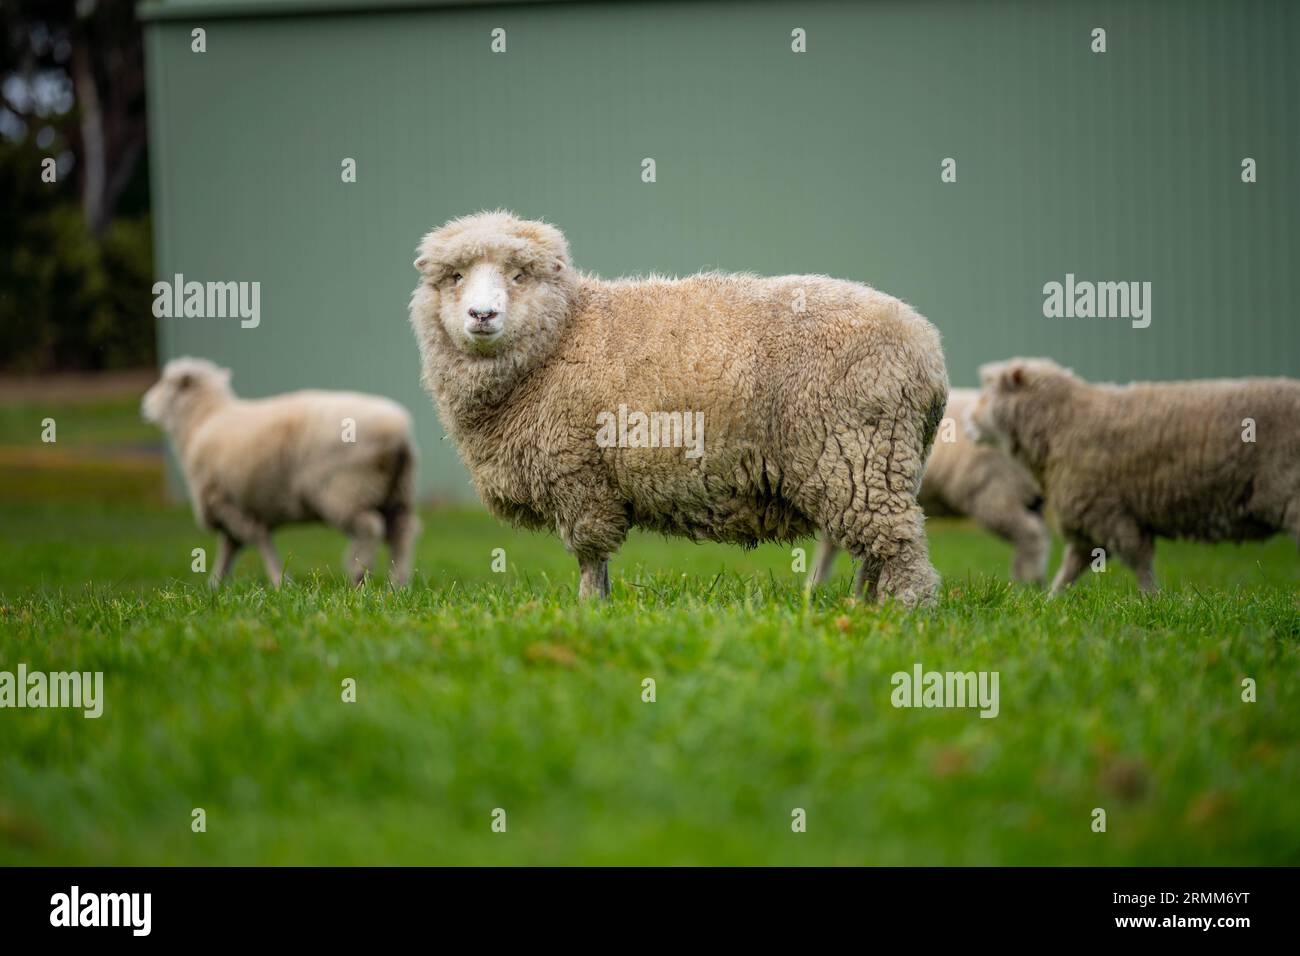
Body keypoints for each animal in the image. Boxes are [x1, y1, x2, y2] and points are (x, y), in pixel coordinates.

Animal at [141, 357, 420, 587]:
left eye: (166, 384)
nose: (144, 406)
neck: (201, 420)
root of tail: (399, 433)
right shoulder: (237, 505)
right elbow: (231, 546)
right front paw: (214, 586)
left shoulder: (223, 499)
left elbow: (254, 538)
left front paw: (278, 581)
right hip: (396, 491)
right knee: (402, 532)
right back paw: (397, 584)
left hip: (343, 491)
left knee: (371, 528)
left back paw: (359, 576)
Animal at [408, 210, 949, 606]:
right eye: (455, 276)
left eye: (519, 275)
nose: (482, 315)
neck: (564, 333)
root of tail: (927, 349)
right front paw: (601, 607)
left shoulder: (580, 475)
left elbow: (589, 554)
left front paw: (587, 609)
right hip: (873, 464)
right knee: (875, 550)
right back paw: (864, 607)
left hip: (860, 454)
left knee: (898, 547)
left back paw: (902, 612)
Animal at [807, 388, 1049, 589]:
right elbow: (829, 545)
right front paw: (814, 585)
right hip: (1025, 497)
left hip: (993, 489)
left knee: (1030, 533)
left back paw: (1024, 582)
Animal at [967, 357, 1300, 594]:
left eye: (986, 397)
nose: (967, 426)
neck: (1063, 422)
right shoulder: (1089, 519)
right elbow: (1070, 568)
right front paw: (1051, 603)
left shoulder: (1108, 511)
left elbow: (1138, 561)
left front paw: (1153, 600)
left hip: (1288, 490)